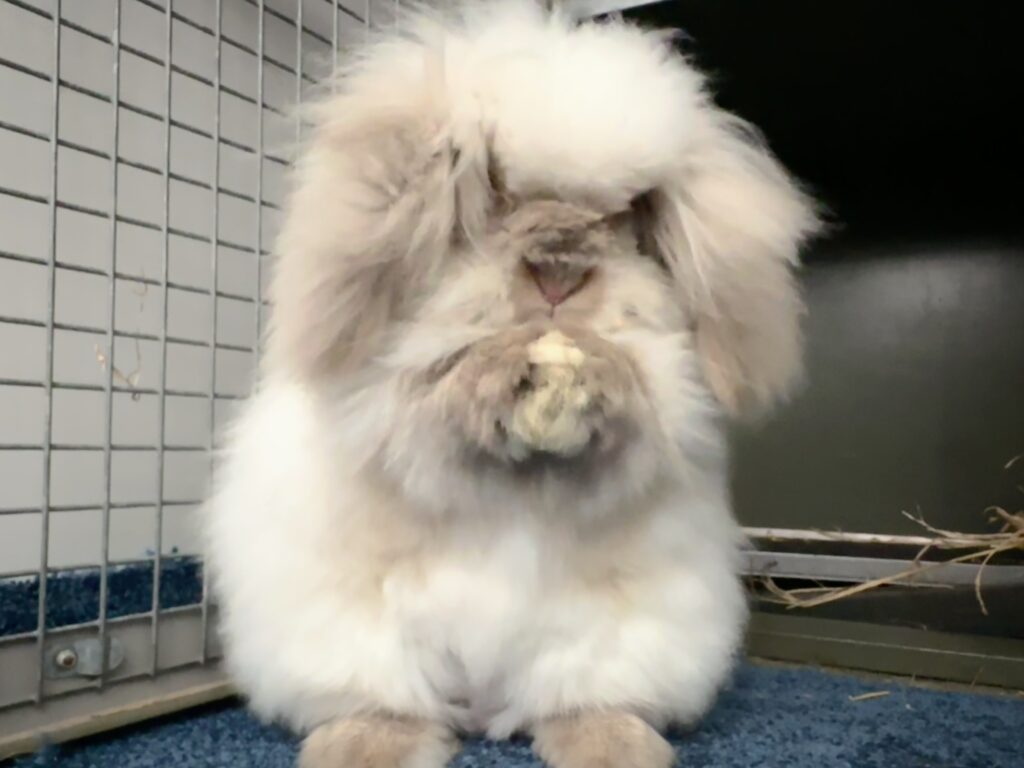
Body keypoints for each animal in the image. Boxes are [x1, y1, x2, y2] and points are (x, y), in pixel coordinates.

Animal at [203, 2, 820, 767]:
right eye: (494, 188)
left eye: (630, 211)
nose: (559, 273)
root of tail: (481, 702)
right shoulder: (384, 406)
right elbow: (435, 400)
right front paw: (507, 371)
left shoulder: (672, 403)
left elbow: (639, 401)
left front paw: (590, 372)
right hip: (352, 644)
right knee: (390, 704)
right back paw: (364, 747)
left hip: (625, 646)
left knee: (573, 704)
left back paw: (615, 745)